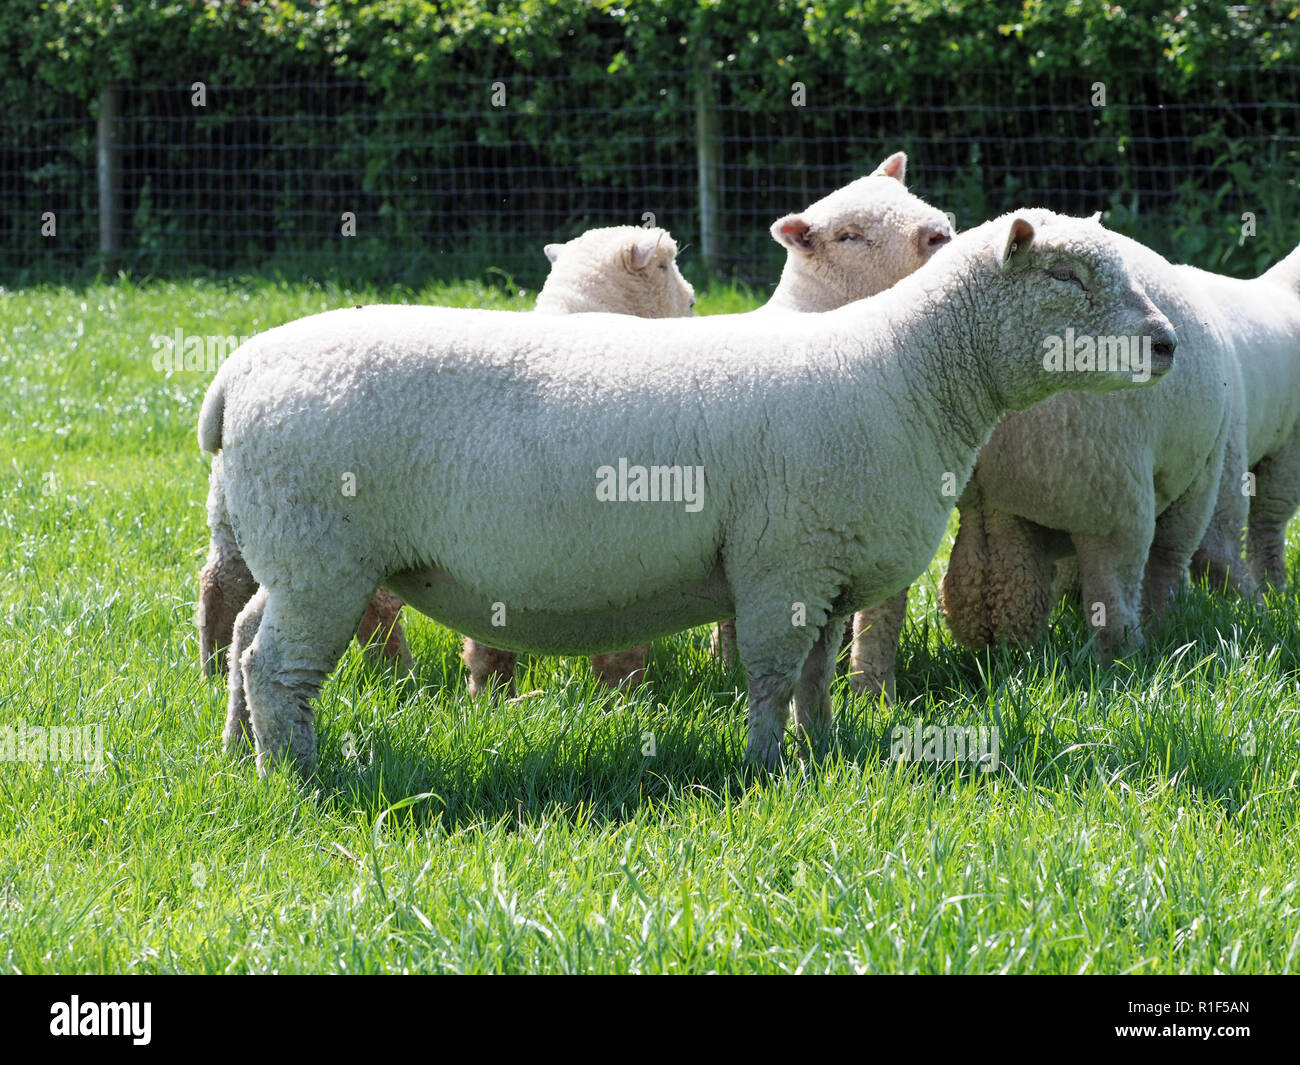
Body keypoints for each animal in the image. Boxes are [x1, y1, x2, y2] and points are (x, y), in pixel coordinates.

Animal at [197, 225, 694, 683]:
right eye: (665, 265)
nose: (692, 303)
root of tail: (228, 378)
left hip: (235, 511)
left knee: (220, 582)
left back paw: (214, 670)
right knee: (370, 605)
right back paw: (394, 674)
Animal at [850, 216, 1260, 699]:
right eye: (1064, 276)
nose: (1167, 344)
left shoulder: (1115, 514)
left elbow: (1113, 602)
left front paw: (1123, 672)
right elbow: (898, 608)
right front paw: (871, 692)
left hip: (1200, 481)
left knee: (1176, 562)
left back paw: (1190, 622)